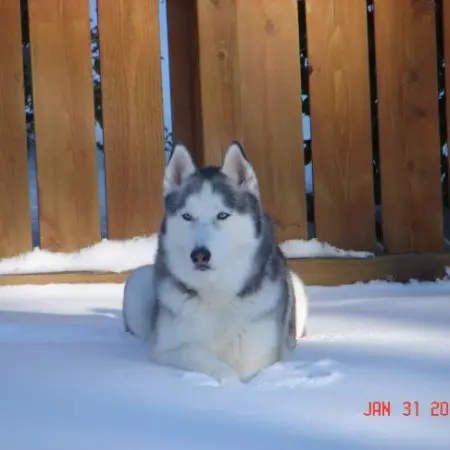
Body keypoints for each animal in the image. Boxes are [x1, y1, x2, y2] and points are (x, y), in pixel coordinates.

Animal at [121, 142, 308, 384]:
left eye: (222, 215)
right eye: (187, 216)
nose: (200, 255)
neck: (215, 290)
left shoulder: (259, 352)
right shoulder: (166, 349)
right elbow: (201, 358)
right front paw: (227, 381)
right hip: (137, 283)